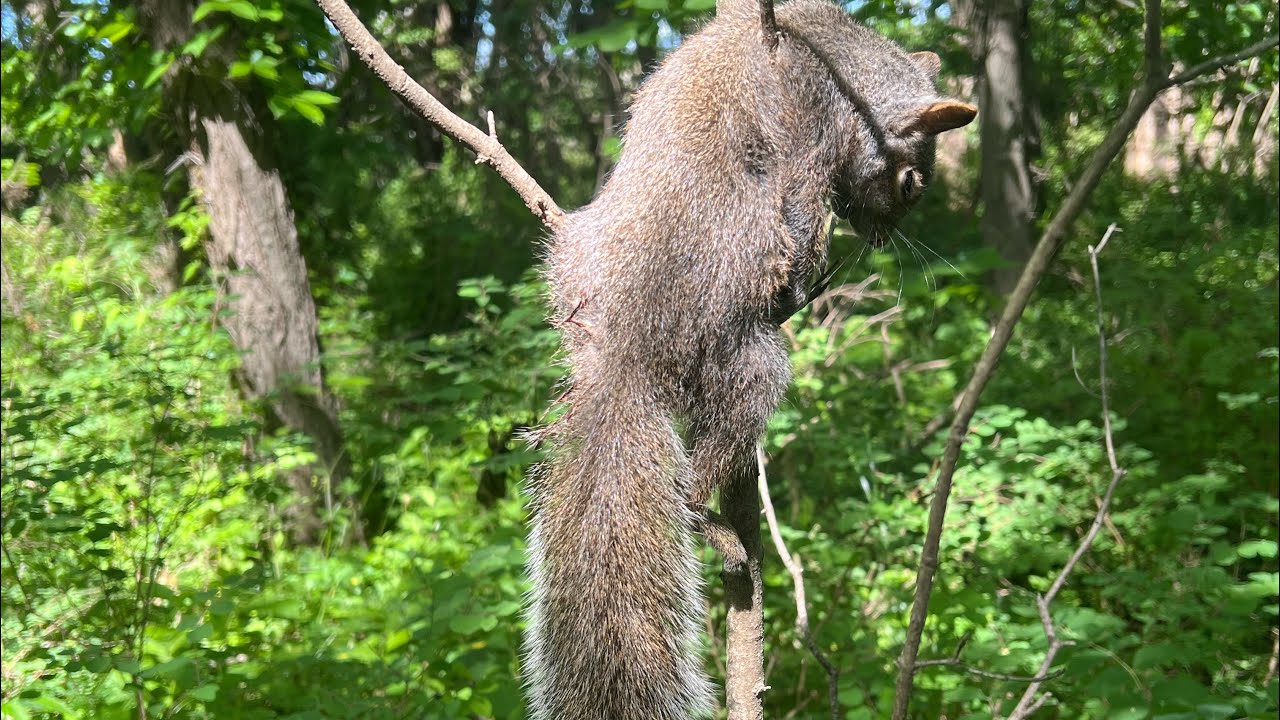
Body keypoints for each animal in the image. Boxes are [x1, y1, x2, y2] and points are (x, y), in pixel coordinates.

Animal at [522, 1, 976, 718]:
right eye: (910, 181)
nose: (883, 237)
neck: (843, 63)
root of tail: (629, 355)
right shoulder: (811, 144)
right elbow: (804, 212)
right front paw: (808, 271)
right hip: (741, 348)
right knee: (716, 445)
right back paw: (712, 519)